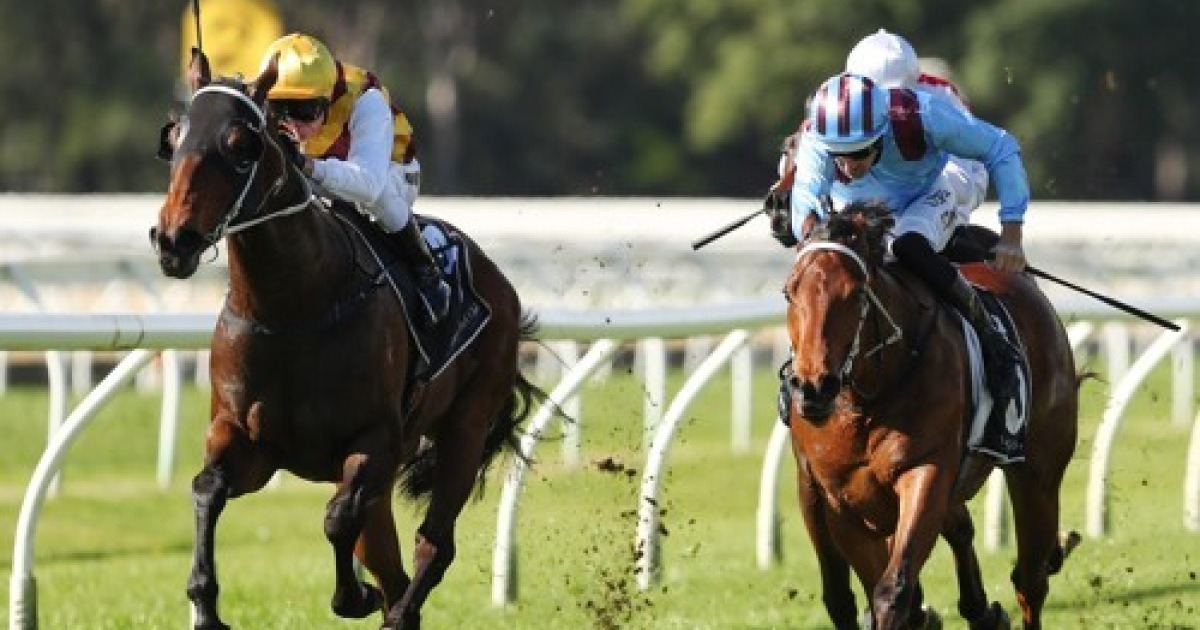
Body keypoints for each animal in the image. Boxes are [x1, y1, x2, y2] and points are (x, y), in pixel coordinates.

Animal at [151, 51, 542, 630]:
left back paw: (395, 608)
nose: (174, 239)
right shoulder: (248, 442)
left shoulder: (374, 440)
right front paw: (205, 606)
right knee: (389, 557)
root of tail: (500, 282)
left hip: (466, 426)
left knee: (432, 546)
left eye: (241, 144)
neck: (295, 308)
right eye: (175, 137)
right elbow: (207, 489)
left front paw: (354, 596)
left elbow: (338, 519)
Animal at [781, 201, 1080, 629]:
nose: (814, 388)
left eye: (856, 294)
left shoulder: (926, 470)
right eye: (789, 292)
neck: (869, 397)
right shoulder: (839, 498)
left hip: (1038, 474)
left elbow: (893, 591)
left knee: (1030, 580)